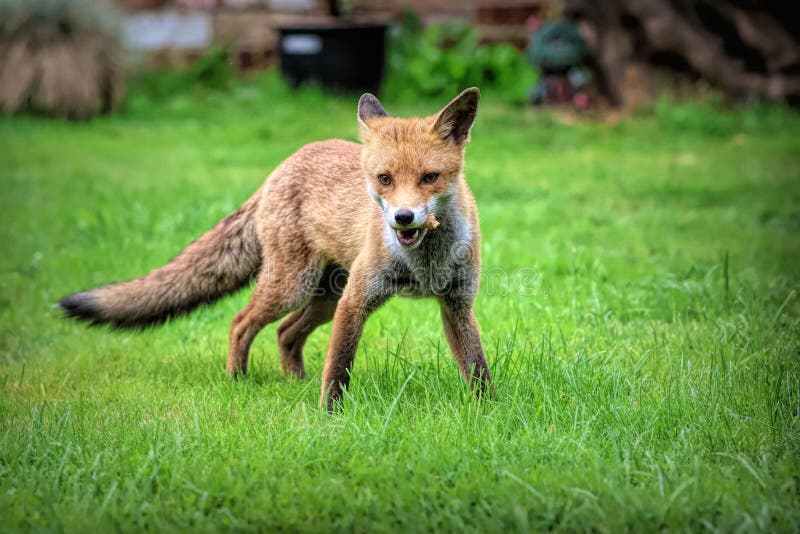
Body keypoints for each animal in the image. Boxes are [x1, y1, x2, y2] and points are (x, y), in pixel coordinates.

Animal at [59, 88, 493, 410]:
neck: (424, 263)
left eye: (430, 177)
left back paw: (295, 382)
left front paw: (487, 414)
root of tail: (280, 167)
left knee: (285, 333)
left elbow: (477, 367)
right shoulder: (357, 299)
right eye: (384, 179)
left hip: (324, 297)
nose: (403, 218)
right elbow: (339, 367)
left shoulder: (456, 304)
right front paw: (331, 416)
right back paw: (238, 380)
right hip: (294, 287)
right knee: (241, 323)